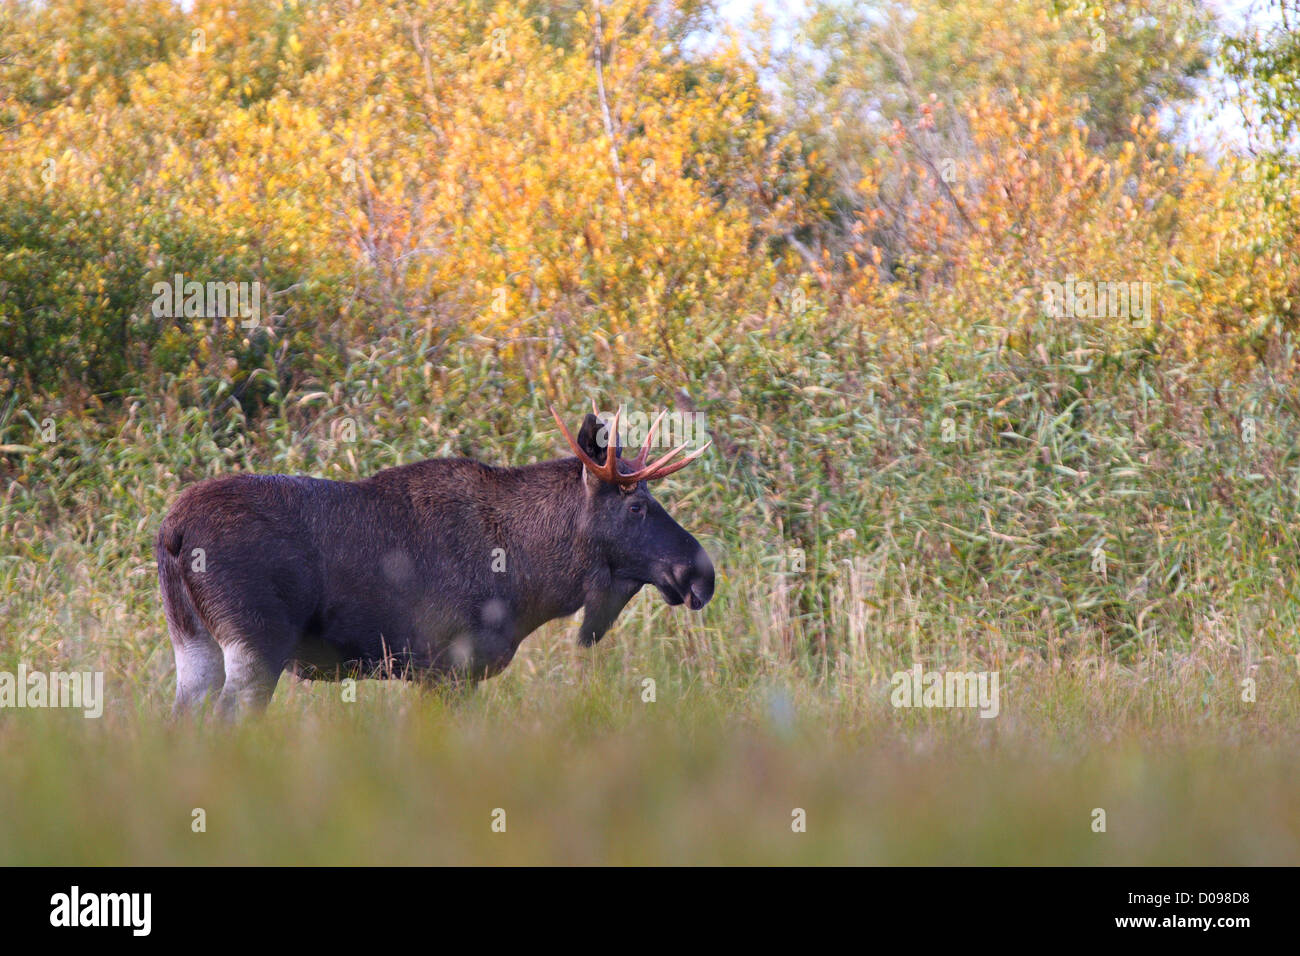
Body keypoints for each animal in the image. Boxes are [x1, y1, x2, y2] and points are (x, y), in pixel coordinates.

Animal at [155, 403, 715, 718]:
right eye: (636, 506)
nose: (701, 574)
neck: (533, 578)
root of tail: (172, 533)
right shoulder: (448, 668)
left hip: (195, 644)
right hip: (256, 642)